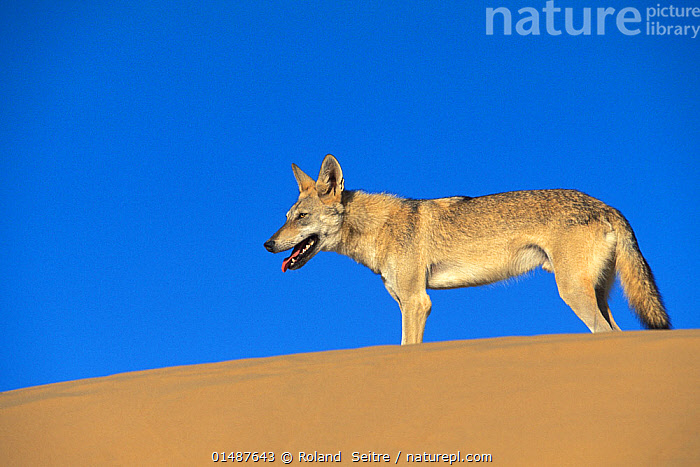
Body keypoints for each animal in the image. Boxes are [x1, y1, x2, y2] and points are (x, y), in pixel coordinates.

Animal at [264, 155, 670, 344]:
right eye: (286, 217)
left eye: (301, 217)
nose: (267, 244)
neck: (379, 229)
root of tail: (608, 207)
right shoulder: (404, 300)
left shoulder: (417, 302)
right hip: (595, 294)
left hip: (572, 293)